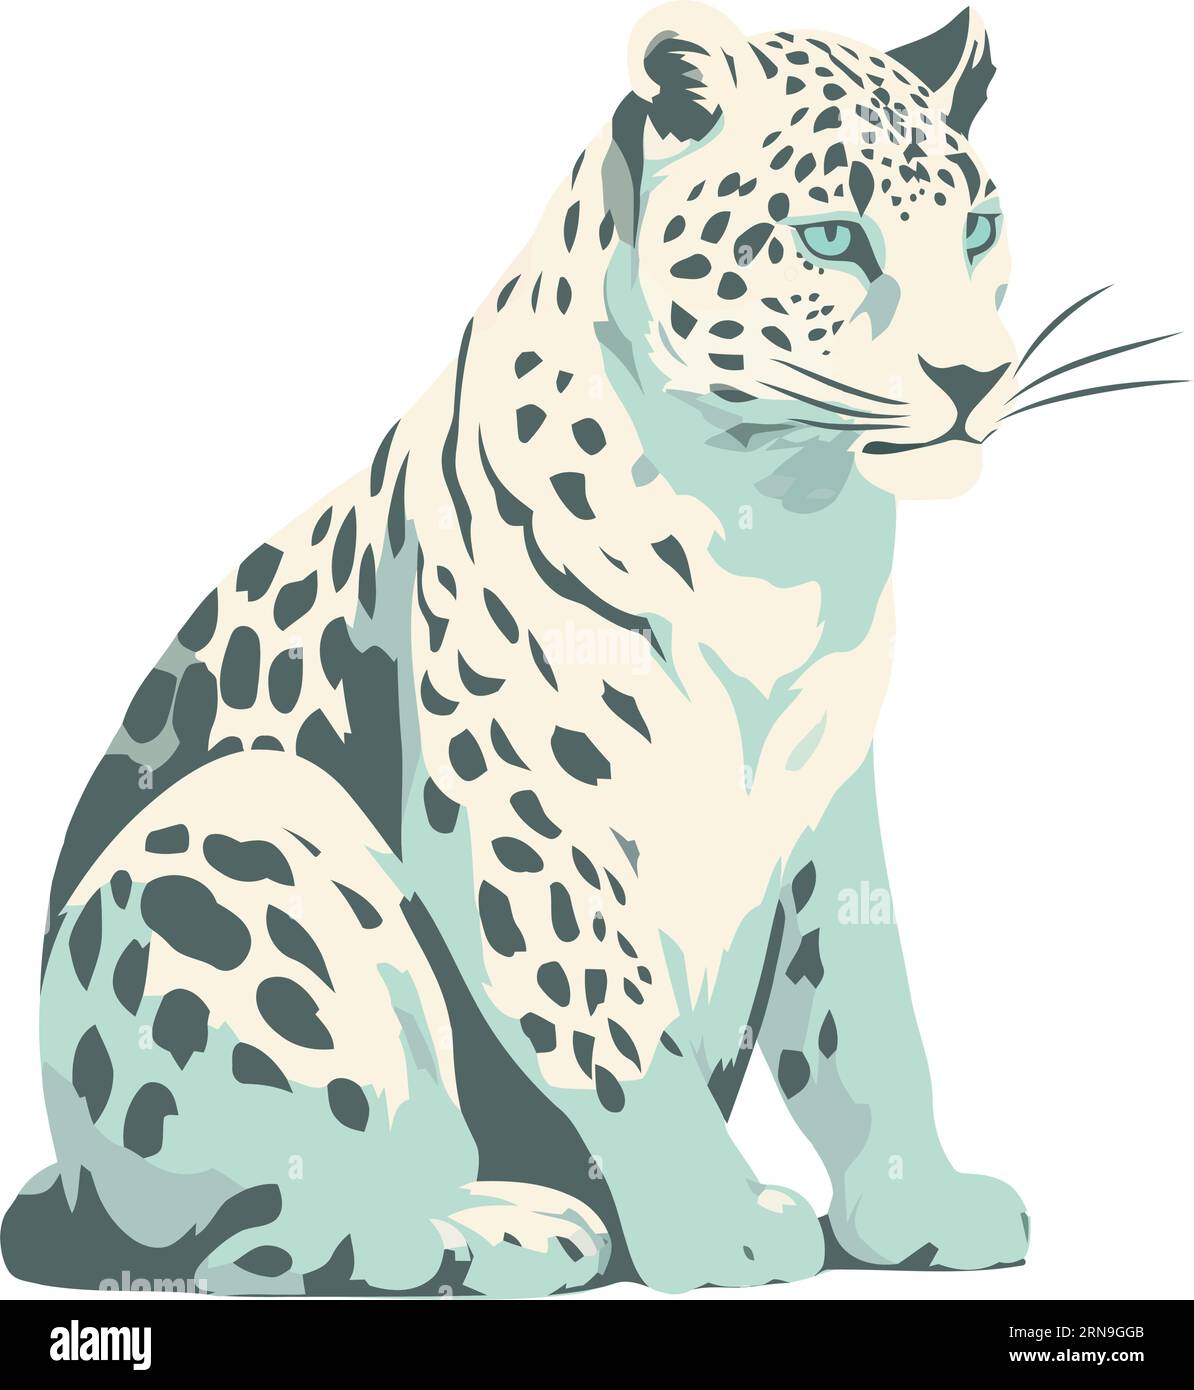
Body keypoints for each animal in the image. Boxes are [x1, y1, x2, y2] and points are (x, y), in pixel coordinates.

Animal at [4, 3, 1171, 1296]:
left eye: (975, 227)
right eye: (833, 237)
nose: (974, 379)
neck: (777, 522)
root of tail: (68, 1175)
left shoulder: (829, 809)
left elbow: (863, 1017)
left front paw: (919, 1204)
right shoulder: (528, 802)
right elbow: (608, 1010)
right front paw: (717, 1223)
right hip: (246, 833)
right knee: (280, 1227)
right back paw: (500, 1228)